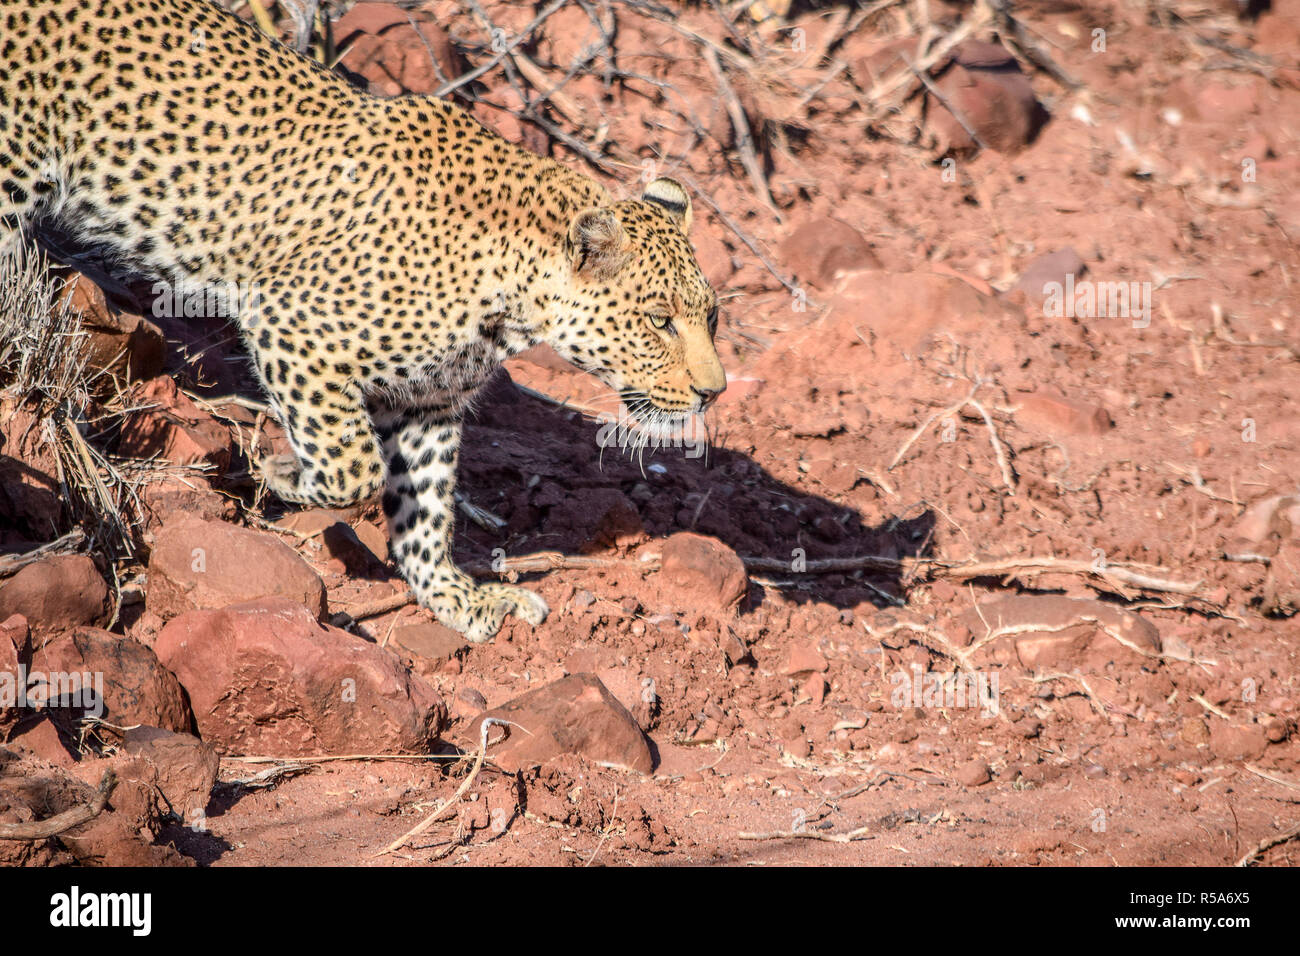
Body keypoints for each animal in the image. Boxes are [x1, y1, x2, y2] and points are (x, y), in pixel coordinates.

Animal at [0, 0, 727, 642]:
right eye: (659, 320)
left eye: (711, 317)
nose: (713, 392)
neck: (512, 296)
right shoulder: (292, 323)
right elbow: (356, 466)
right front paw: (284, 473)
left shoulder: (430, 401)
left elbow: (425, 506)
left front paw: (456, 597)